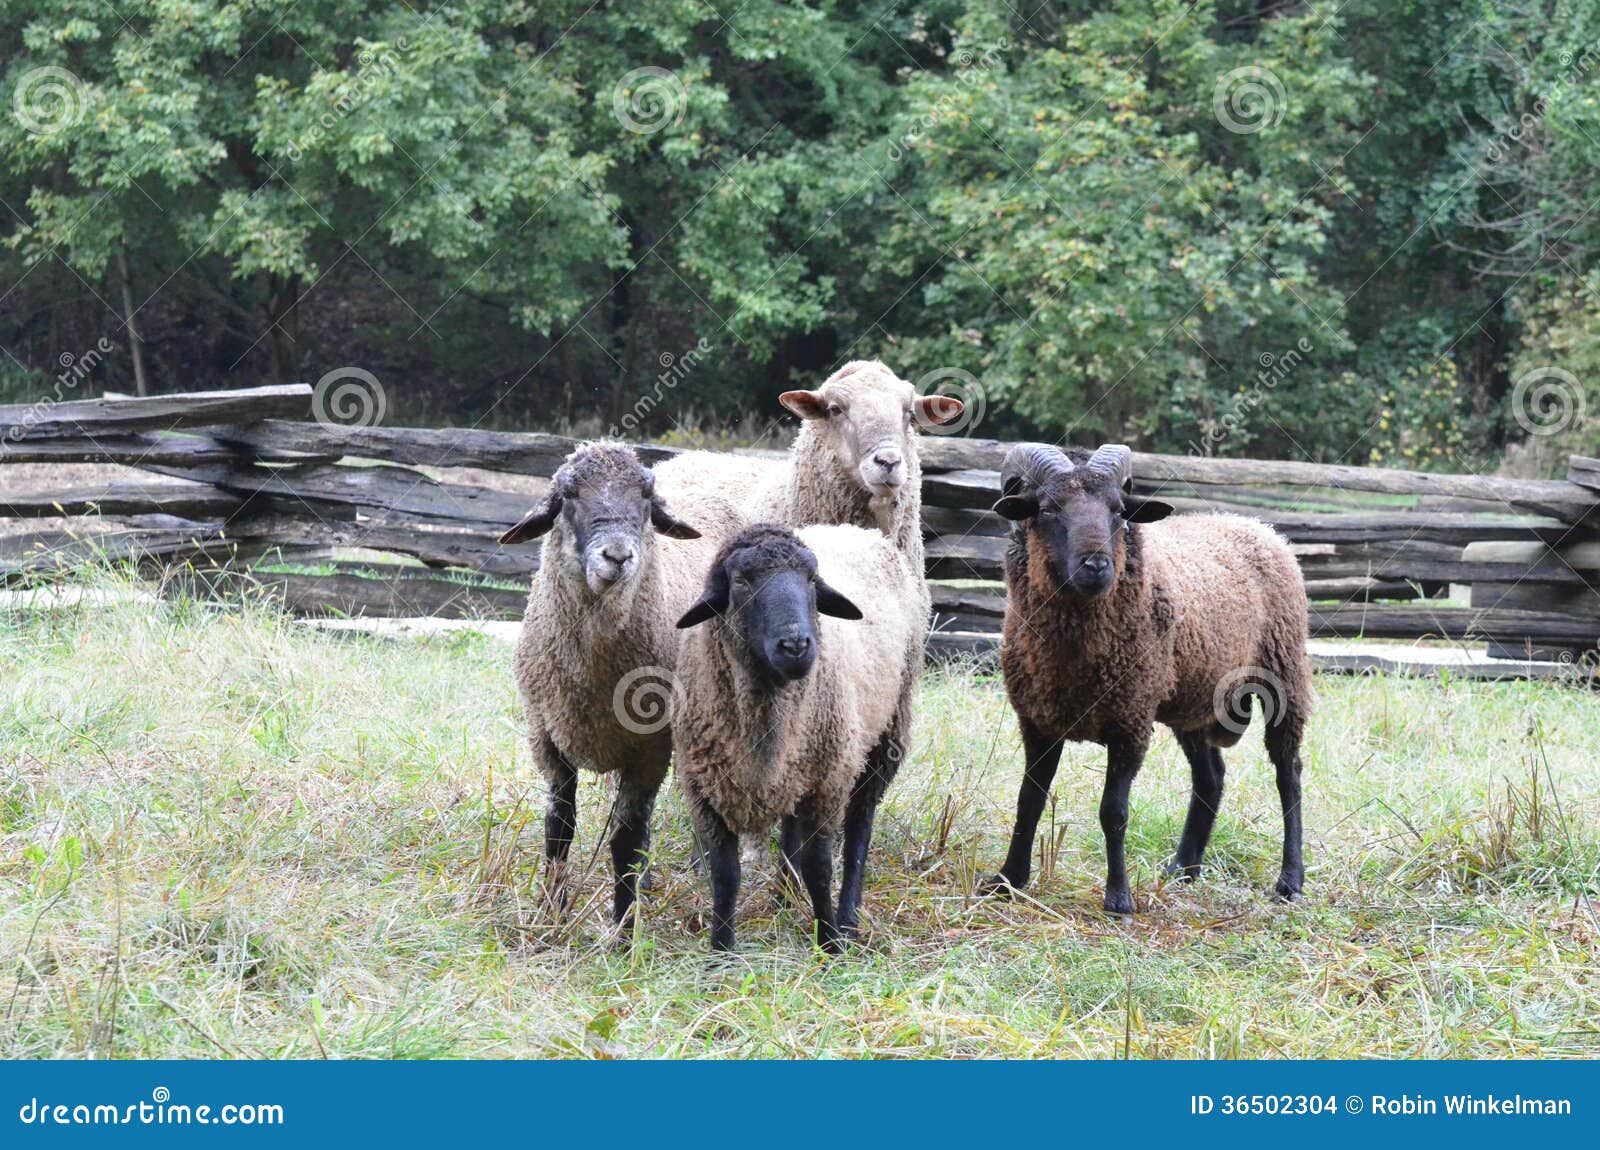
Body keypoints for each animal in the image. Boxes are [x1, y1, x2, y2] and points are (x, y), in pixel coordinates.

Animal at [499, 442, 745, 927]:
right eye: (569, 493)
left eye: (647, 499)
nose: (617, 557)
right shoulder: (547, 736)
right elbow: (560, 826)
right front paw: (553, 910)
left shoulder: (650, 747)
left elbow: (625, 838)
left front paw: (624, 924)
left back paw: (702, 868)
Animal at [672, 522, 924, 952]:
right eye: (741, 580)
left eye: (810, 580)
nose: (795, 645)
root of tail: (855, 529)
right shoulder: (703, 787)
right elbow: (725, 874)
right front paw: (720, 951)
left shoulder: (829, 782)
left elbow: (818, 866)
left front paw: (831, 944)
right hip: (799, 765)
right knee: (791, 832)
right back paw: (783, 900)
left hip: (883, 735)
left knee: (859, 829)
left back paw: (848, 919)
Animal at [981, 443, 1313, 913]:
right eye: (1046, 508)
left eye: (1120, 511)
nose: (1097, 565)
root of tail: (1256, 525)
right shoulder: (1038, 721)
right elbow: (1028, 801)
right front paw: (1007, 880)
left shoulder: (1131, 722)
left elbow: (1113, 811)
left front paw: (1119, 898)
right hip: (1192, 700)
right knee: (1211, 778)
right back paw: (1183, 868)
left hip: (1284, 674)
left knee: (1289, 773)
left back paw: (1290, 881)